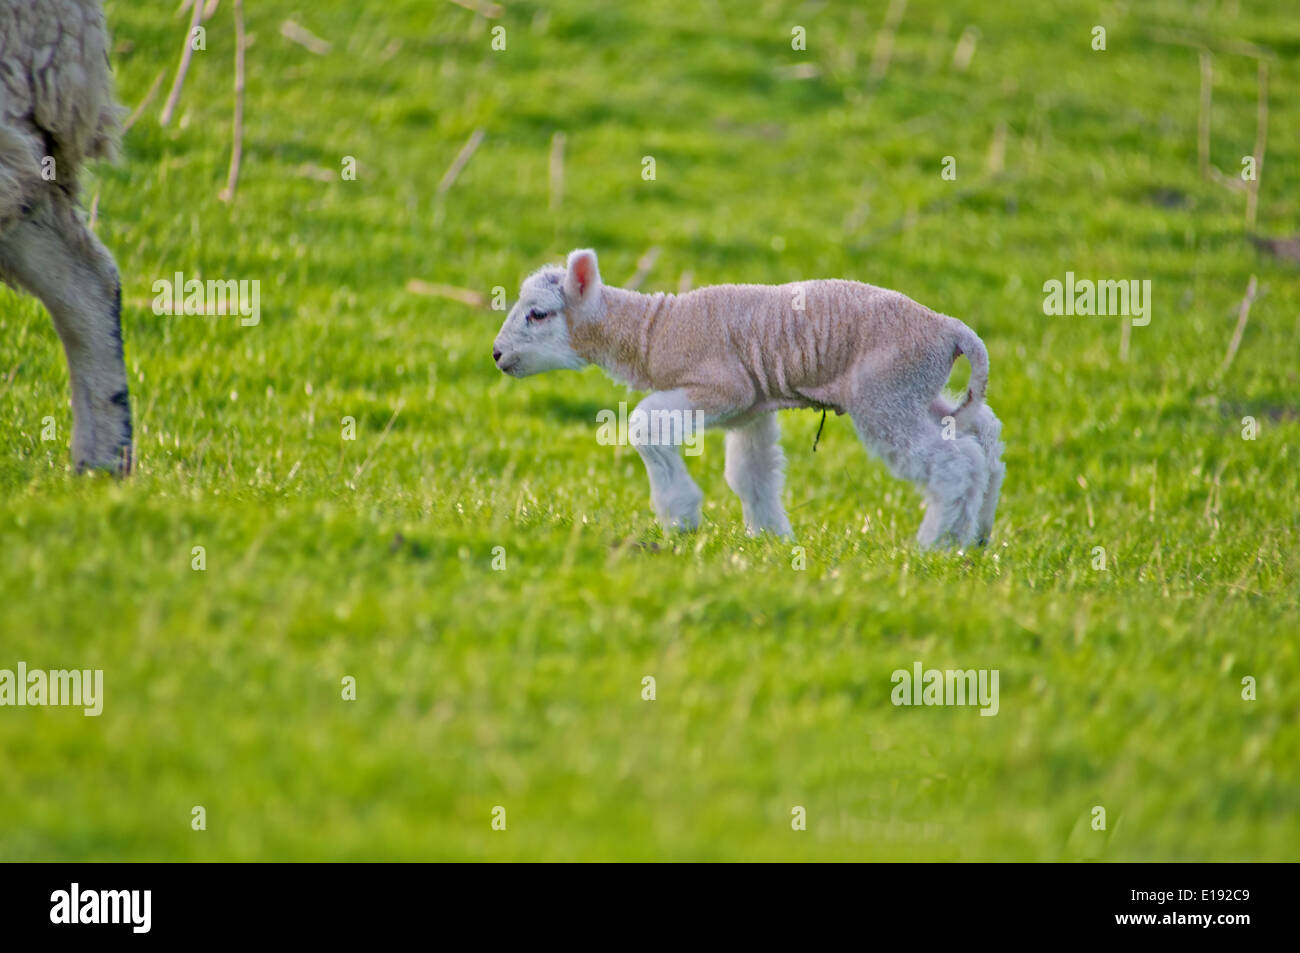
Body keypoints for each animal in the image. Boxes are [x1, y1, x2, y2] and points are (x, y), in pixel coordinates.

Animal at [492, 249, 1005, 549]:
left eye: (538, 314)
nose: (497, 354)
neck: (653, 330)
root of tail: (952, 330)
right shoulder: (749, 410)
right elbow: (751, 475)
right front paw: (773, 539)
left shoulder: (721, 386)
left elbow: (644, 424)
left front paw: (681, 516)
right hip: (919, 390)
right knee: (985, 440)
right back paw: (975, 535)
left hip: (887, 392)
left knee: (954, 461)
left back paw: (933, 543)